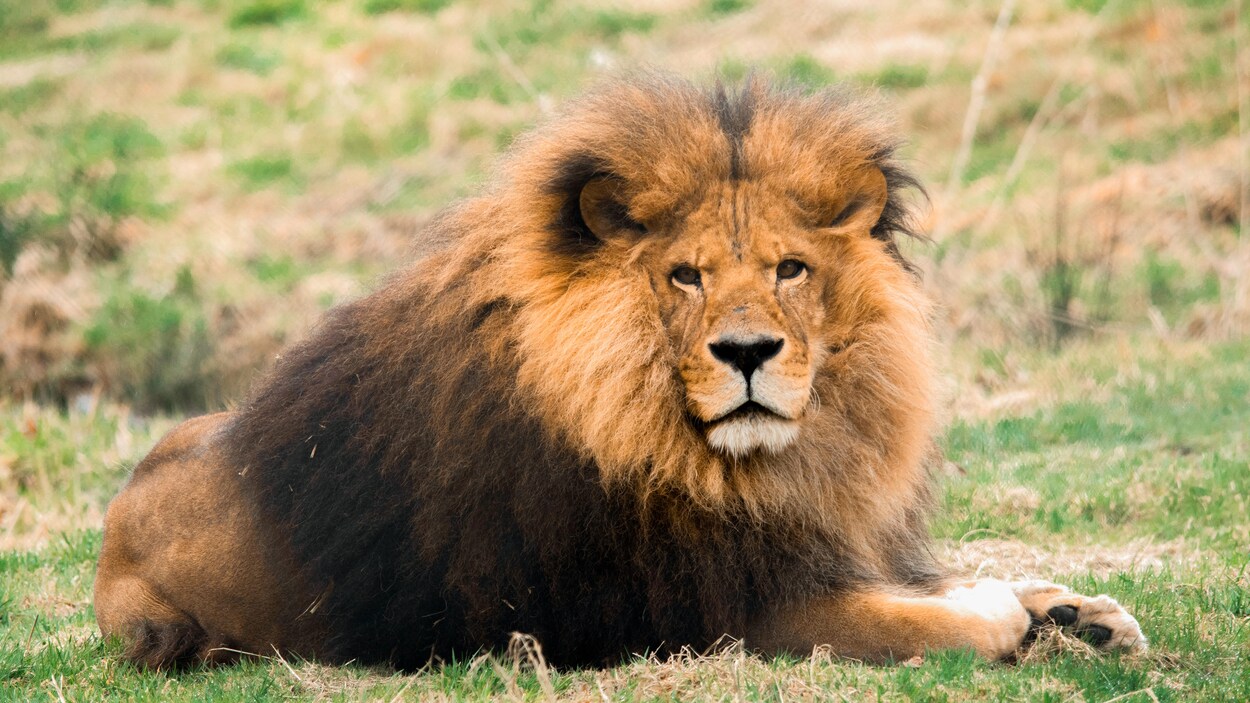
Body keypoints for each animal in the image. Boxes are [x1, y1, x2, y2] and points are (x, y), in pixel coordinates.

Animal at [93, 74, 1146, 670]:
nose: (748, 352)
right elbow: (925, 624)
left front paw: (1077, 610)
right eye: (685, 276)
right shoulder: (720, 610)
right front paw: (1005, 615)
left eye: (789, 270)